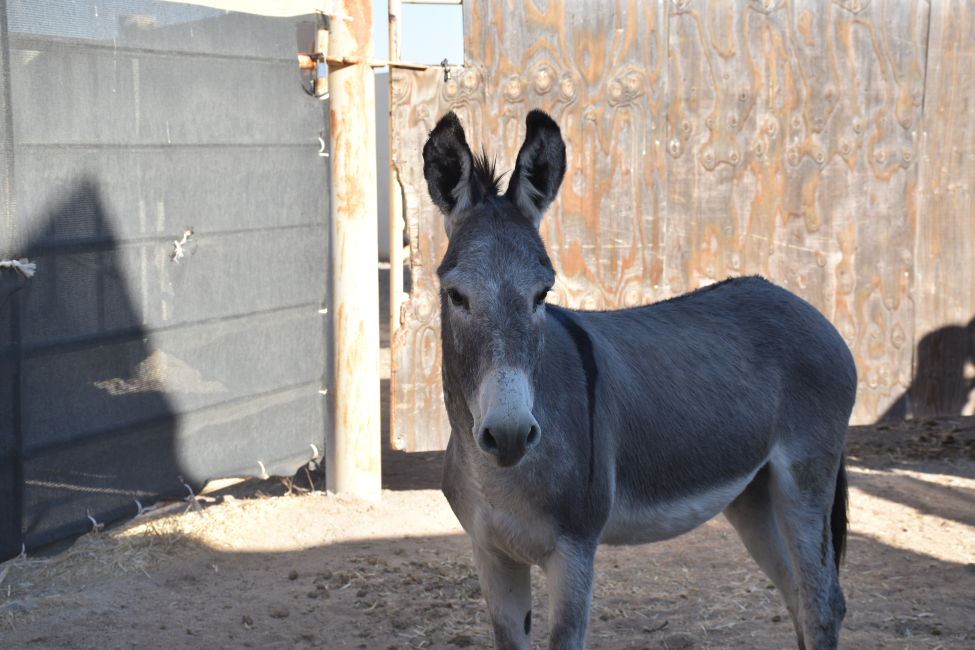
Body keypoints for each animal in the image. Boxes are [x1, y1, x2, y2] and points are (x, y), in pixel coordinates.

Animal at [421, 109, 856, 650]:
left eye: (543, 294)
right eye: (456, 295)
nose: (510, 434)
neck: (500, 479)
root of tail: (802, 304)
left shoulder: (574, 550)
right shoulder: (491, 553)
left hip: (804, 480)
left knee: (822, 606)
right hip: (752, 493)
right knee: (797, 597)